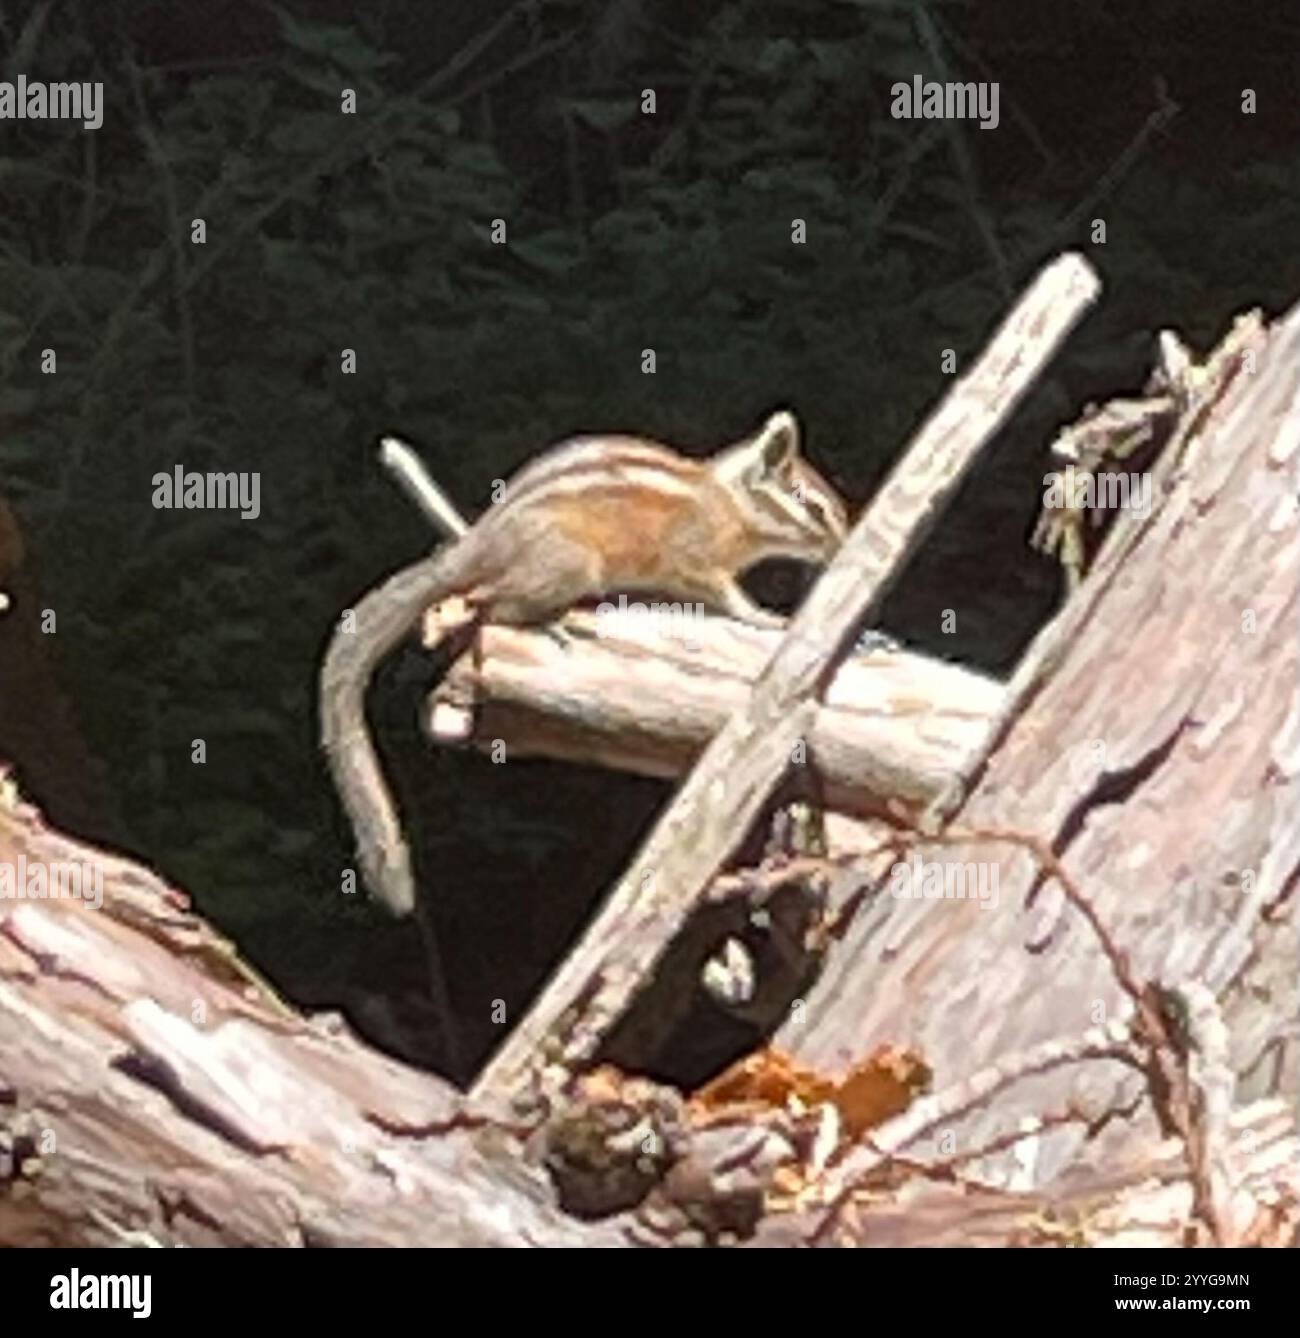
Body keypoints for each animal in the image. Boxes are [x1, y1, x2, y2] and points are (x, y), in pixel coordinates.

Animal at [319, 410, 848, 921]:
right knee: (488, 602)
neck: (726, 503)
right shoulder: (696, 564)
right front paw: (767, 616)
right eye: (813, 508)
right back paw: (557, 620)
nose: (841, 547)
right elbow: (727, 597)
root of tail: (479, 544)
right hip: (567, 565)